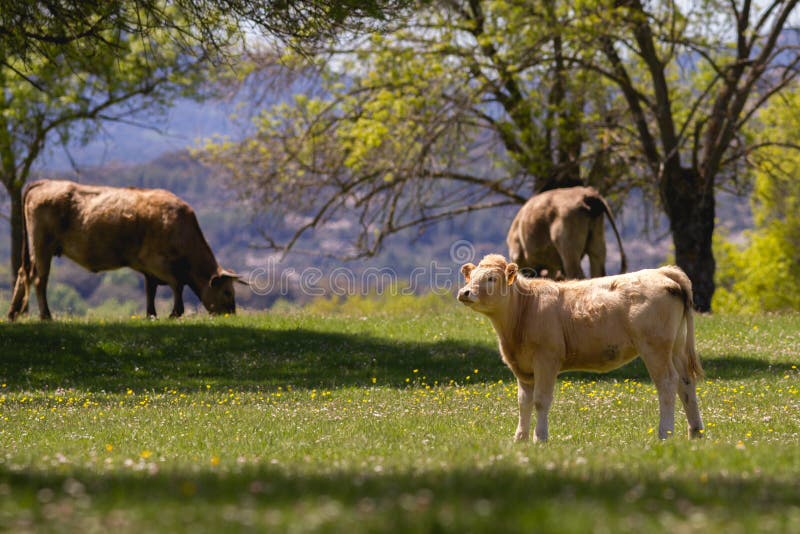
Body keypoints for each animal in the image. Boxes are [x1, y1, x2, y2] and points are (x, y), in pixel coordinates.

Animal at [7, 179, 242, 321]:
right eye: (227, 292)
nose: (231, 314)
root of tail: (46, 182)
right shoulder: (158, 263)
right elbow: (177, 286)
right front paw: (174, 314)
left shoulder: (150, 270)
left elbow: (150, 291)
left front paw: (151, 315)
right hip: (42, 246)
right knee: (39, 280)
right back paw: (46, 316)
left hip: (35, 250)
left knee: (23, 274)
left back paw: (12, 313)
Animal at [457, 254, 704, 442]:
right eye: (471, 277)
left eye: (491, 278)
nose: (464, 292)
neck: (524, 311)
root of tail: (662, 272)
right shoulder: (522, 367)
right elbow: (523, 402)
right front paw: (520, 438)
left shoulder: (546, 359)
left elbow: (540, 400)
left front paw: (540, 438)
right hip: (676, 348)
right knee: (685, 383)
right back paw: (695, 433)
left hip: (655, 348)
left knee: (667, 383)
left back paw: (665, 434)